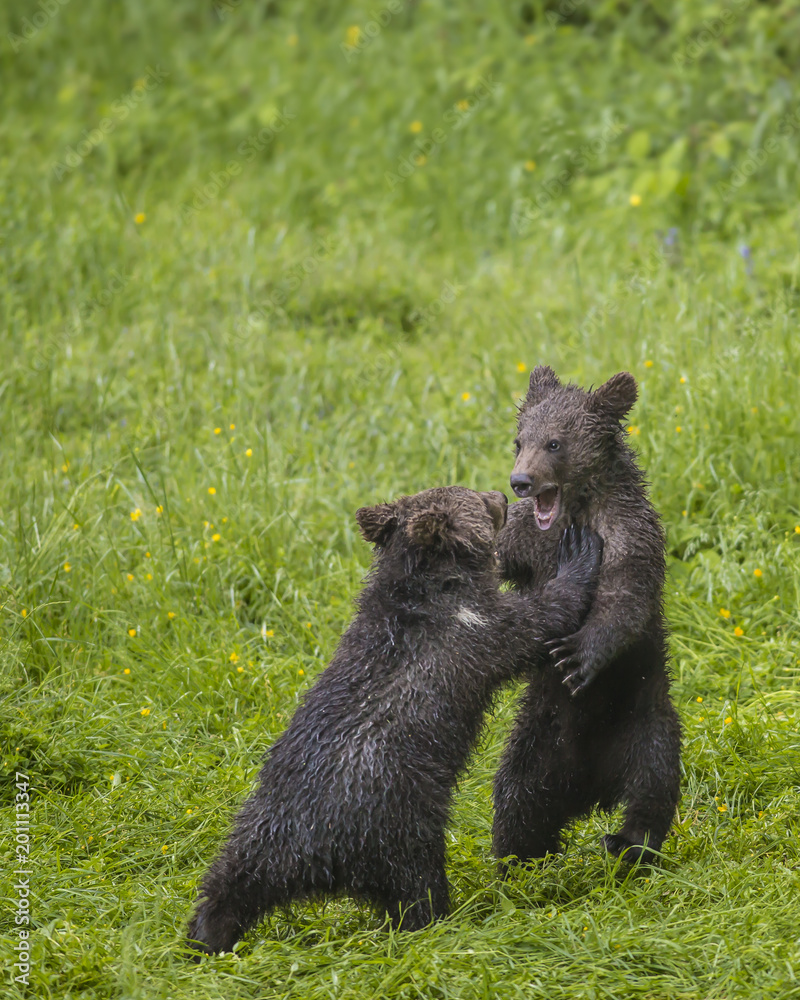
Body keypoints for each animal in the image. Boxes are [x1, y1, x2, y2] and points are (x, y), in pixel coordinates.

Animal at [187, 486, 603, 955]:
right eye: (473, 495)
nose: (500, 493)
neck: (426, 591)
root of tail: (311, 854)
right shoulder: (482, 631)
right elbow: (544, 616)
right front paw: (578, 553)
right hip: (402, 829)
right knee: (419, 893)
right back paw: (448, 919)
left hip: (257, 829)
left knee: (227, 883)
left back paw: (205, 934)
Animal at [493, 366, 682, 865]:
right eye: (519, 440)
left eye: (555, 443)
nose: (520, 481)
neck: (573, 513)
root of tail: (592, 792)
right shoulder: (526, 543)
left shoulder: (628, 535)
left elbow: (624, 599)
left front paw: (577, 655)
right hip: (540, 736)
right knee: (516, 795)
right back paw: (516, 861)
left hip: (641, 717)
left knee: (653, 781)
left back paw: (629, 843)